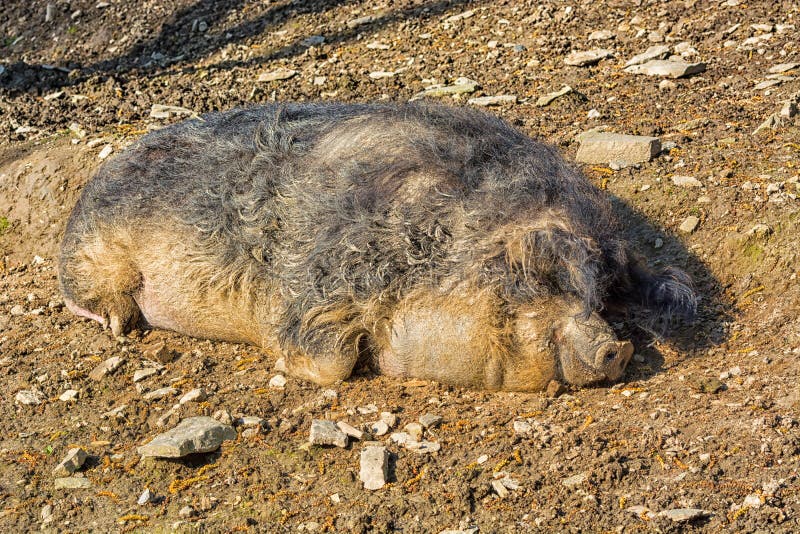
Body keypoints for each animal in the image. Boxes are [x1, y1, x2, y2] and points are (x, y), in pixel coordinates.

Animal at [58, 102, 696, 392]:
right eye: (544, 278)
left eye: (603, 297)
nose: (617, 347)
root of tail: (93, 182)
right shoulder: (317, 277)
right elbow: (328, 361)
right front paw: (298, 364)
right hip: (94, 251)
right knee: (80, 292)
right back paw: (119, 324)